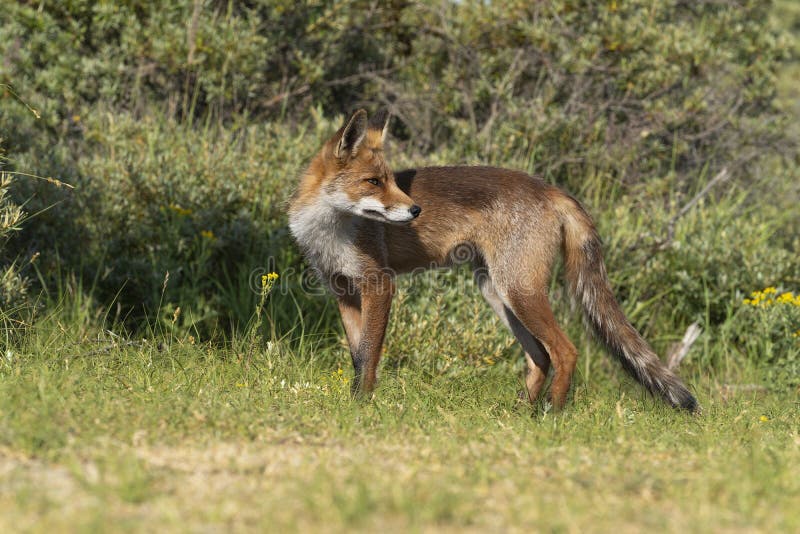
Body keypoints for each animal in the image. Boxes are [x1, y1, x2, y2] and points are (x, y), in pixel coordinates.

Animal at [288, 109, 699, 412]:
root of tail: (549, 187)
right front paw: (356, 403)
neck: (330, 231)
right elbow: (357, 355)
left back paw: (552, 415)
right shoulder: (343, 292)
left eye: (392, 181)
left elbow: (368, 356)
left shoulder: (380, 285)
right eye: (374, 182)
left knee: (565, 351)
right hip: (496, 293)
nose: (415, 210)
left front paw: (362, 407)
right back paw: (522, 415)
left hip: (518, 291)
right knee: (540, 357)